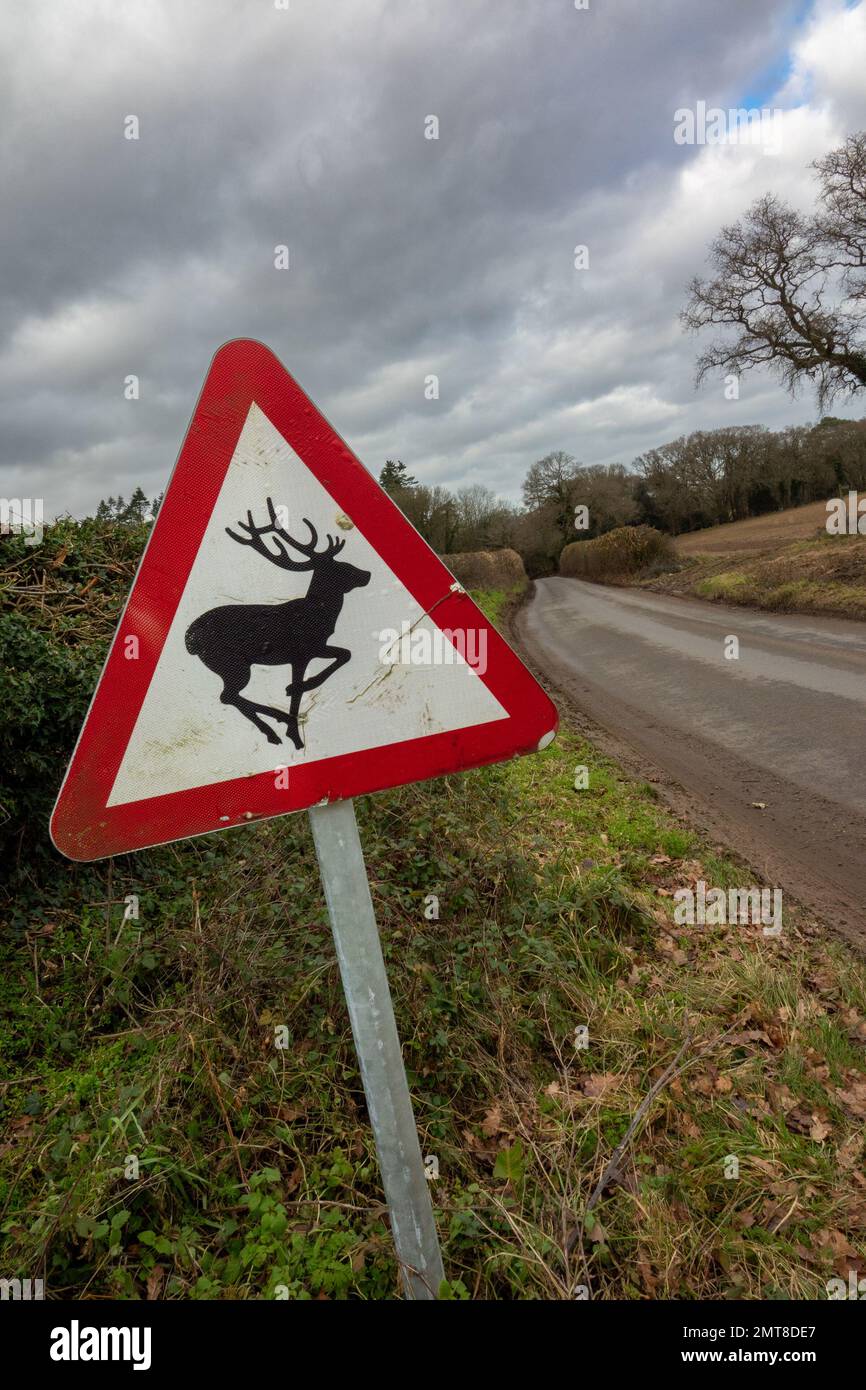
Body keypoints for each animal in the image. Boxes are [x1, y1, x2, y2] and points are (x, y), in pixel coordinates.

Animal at [185, 498, 370, 748]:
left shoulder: (309, 651)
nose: (367, 574)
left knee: (229, 696)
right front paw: (294, 719)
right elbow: (342, 657)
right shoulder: (303, 650)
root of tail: (190, 641)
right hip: (229, 662)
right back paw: (279, 719)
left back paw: (272, 733)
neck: (320, 613)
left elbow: (343, 654)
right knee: (227, 696)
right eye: (341, 566)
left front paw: (294, 725)